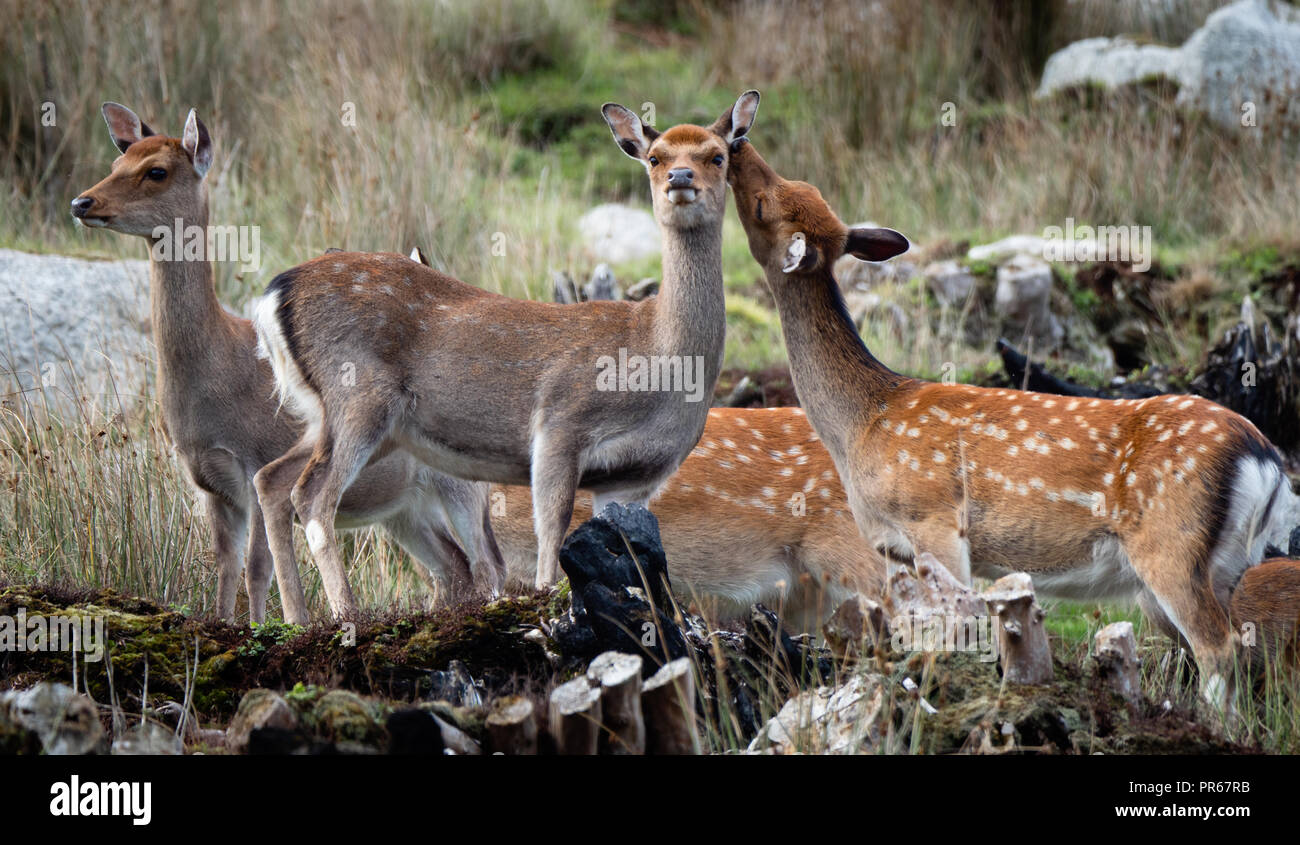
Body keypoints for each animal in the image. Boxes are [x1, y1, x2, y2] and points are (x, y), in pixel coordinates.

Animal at [71, 103, 505, 625]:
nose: (82, 202)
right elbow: (226, 566)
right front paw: (232, 623)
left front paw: (268, 626)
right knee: (452, 566)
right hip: (402, 510)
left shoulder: (254, 460)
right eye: (117, 161)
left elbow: (258, 568)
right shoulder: (208, 486)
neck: (209, 391)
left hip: (458, 482)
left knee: (485, 561)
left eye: (156, 170)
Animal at [251, 92, 761, 619]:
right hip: (358, 392)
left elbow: (626, 548)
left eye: (718, 156)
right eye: (656, 157)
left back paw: (296, 619)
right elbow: (552, 529)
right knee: (312, 497)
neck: (658, 360)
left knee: (271, 478)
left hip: (344, 419)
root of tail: (271, 297)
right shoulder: (561, 423)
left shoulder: (631, 479)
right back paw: (345, 615)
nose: (680, 178)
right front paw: (549, 597)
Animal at [723, 136, 1299, 709]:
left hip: (1171, 545)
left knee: (1218, 647)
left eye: (764, 206)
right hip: (1225, 562)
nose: (738, 144)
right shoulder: (894, 550)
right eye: (802, 187)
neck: (862, 423)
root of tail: (1267, 459)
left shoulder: (935, 520)